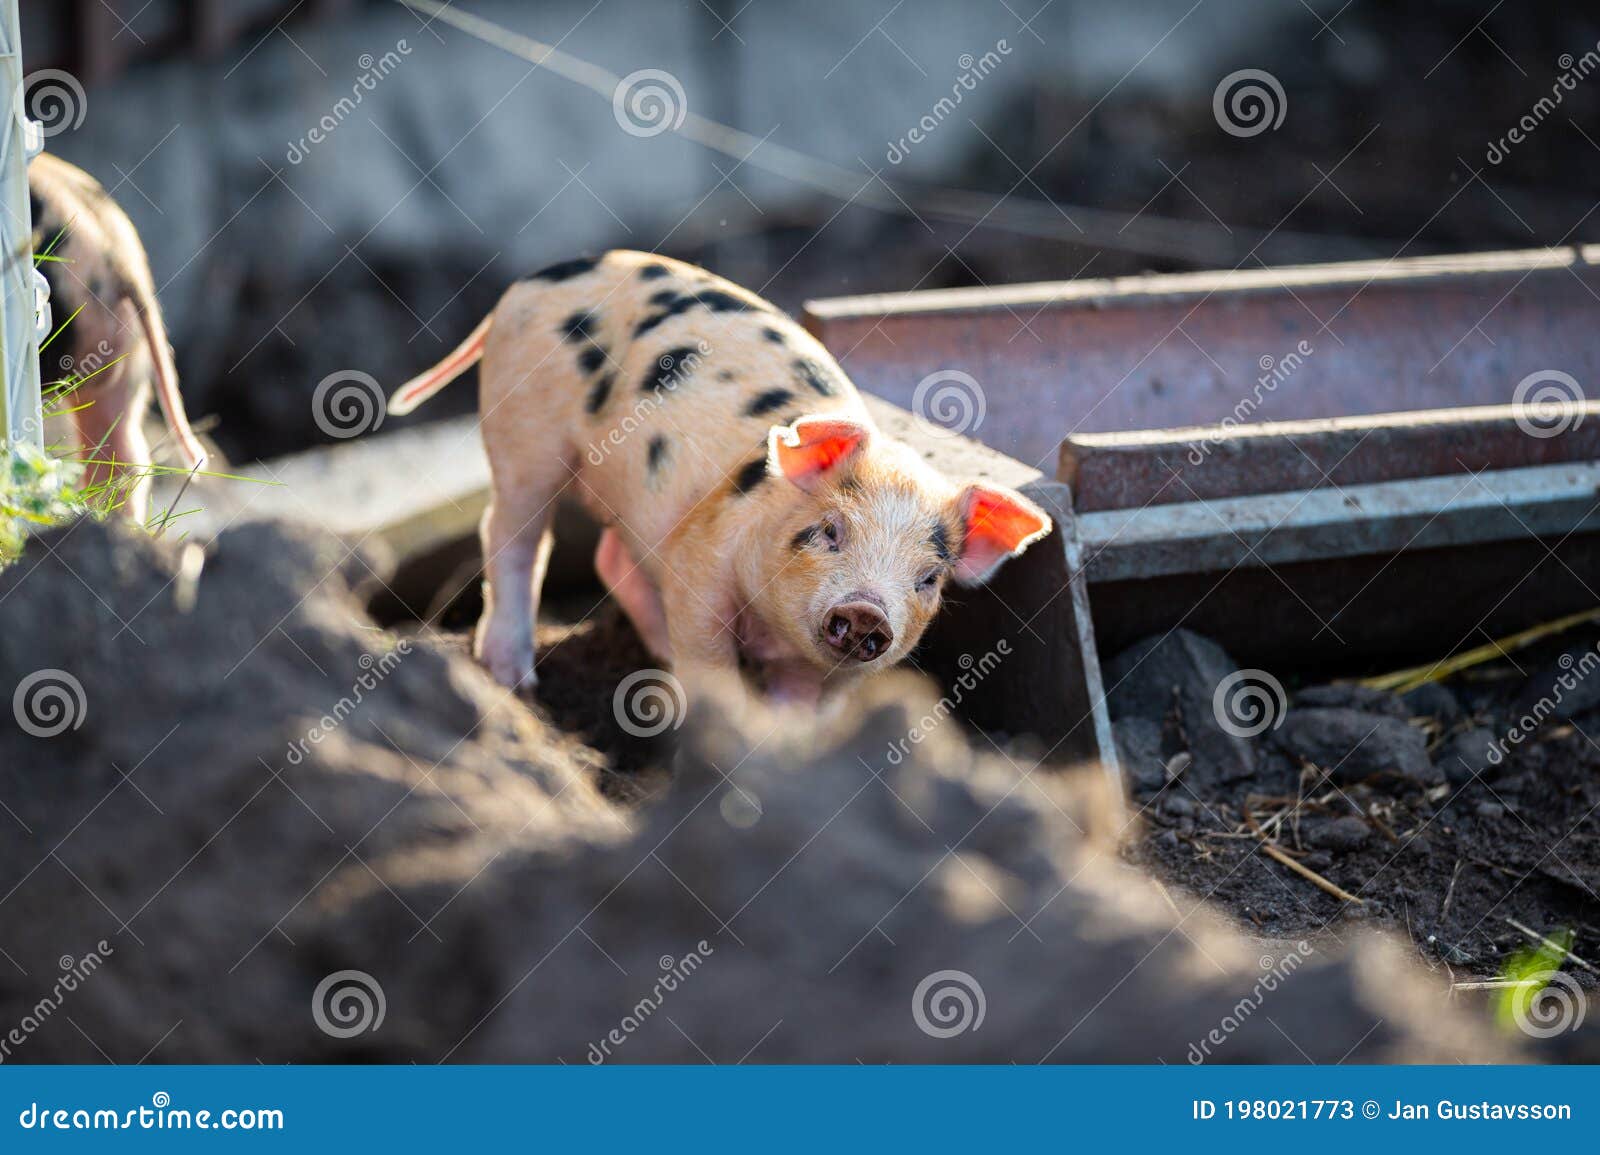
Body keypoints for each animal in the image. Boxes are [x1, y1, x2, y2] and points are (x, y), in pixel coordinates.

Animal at [388, 250, 1050, 705]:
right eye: (830, 531)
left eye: (929, 579)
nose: (867, 611)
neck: (774, 634)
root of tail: (526, 285)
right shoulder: (701, 562)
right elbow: (711, 661)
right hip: (525, 434)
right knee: (513, 534)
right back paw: (512, 678)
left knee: (609, 555)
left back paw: (654, 649)